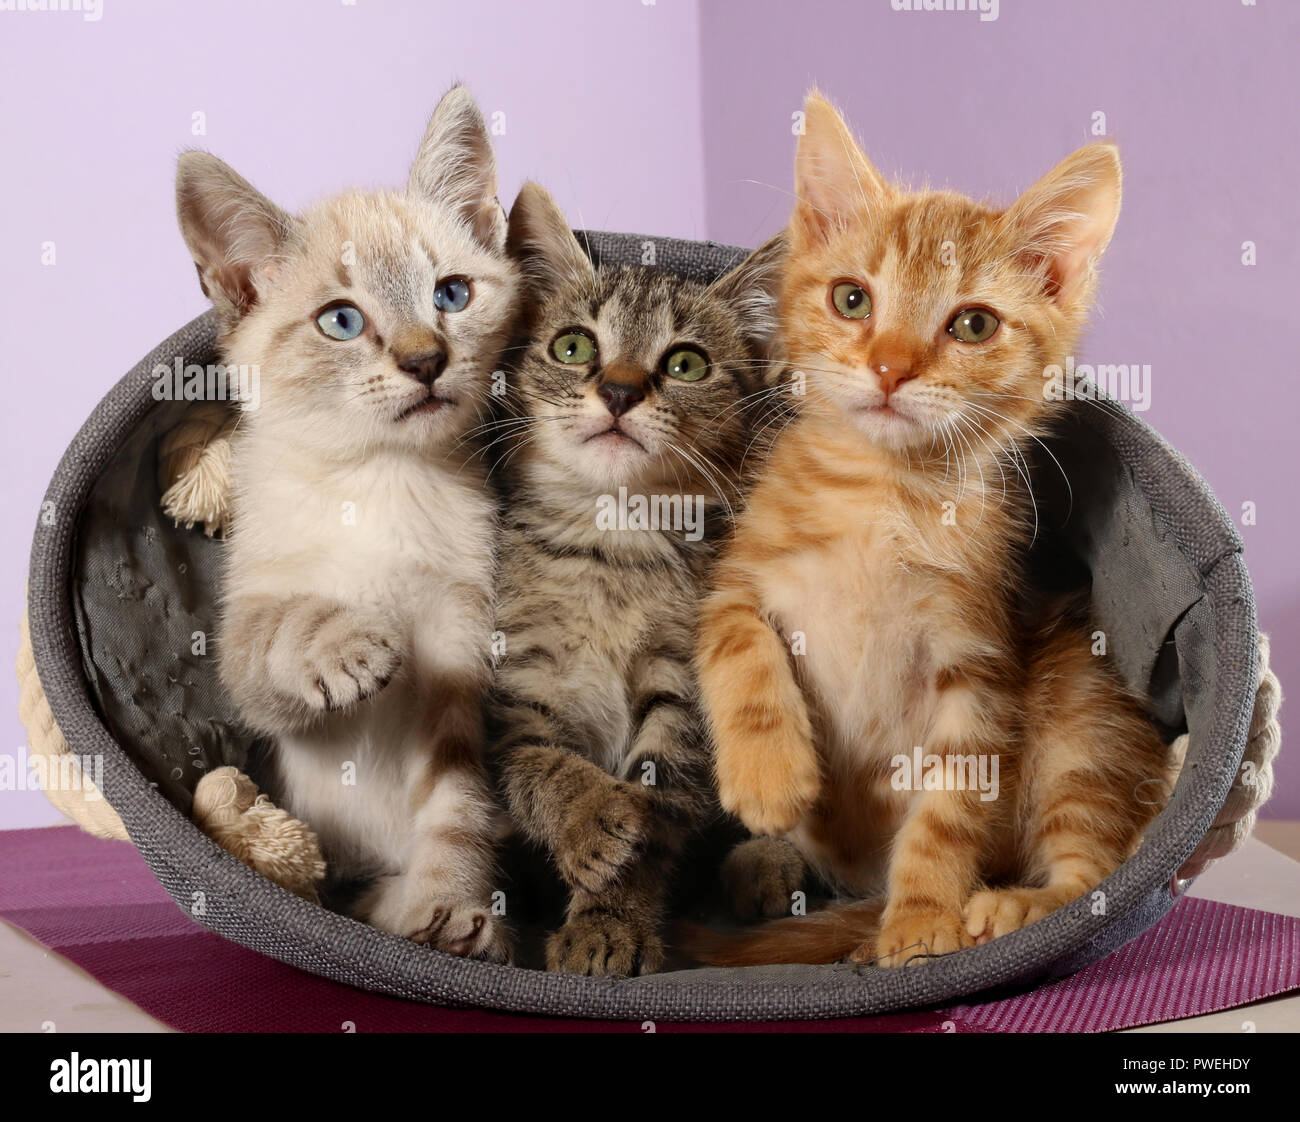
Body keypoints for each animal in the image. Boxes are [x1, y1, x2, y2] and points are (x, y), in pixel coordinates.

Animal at [175, 87, 517, 960]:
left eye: (451, 294)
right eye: (340, 321)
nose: (426, 360)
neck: (378, 476)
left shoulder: (462, 636)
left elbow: (458, 806)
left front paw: (450, 904)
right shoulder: (243, 637)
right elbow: (283, 627)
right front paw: (345, 645)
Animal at [488, 180, 785, 975]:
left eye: (686, 364)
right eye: (573, 346)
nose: (620, 391)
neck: (611, 544)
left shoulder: (687, 693)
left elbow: (660, 811)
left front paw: (611, 921)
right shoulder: (516, 687)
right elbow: (539, 765)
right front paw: (593, 817)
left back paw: (768, 867)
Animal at [692, 93, 1174, 967]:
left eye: (973, 325)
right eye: (852, 299)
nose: (890, 368)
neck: (883, 497)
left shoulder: (976, 662)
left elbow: (949, 810)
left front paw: (920, 919)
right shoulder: (739, 582)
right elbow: (739, 647)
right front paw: (768, 774)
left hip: (1081, 719)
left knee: (1095, 871)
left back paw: (1012, 905)